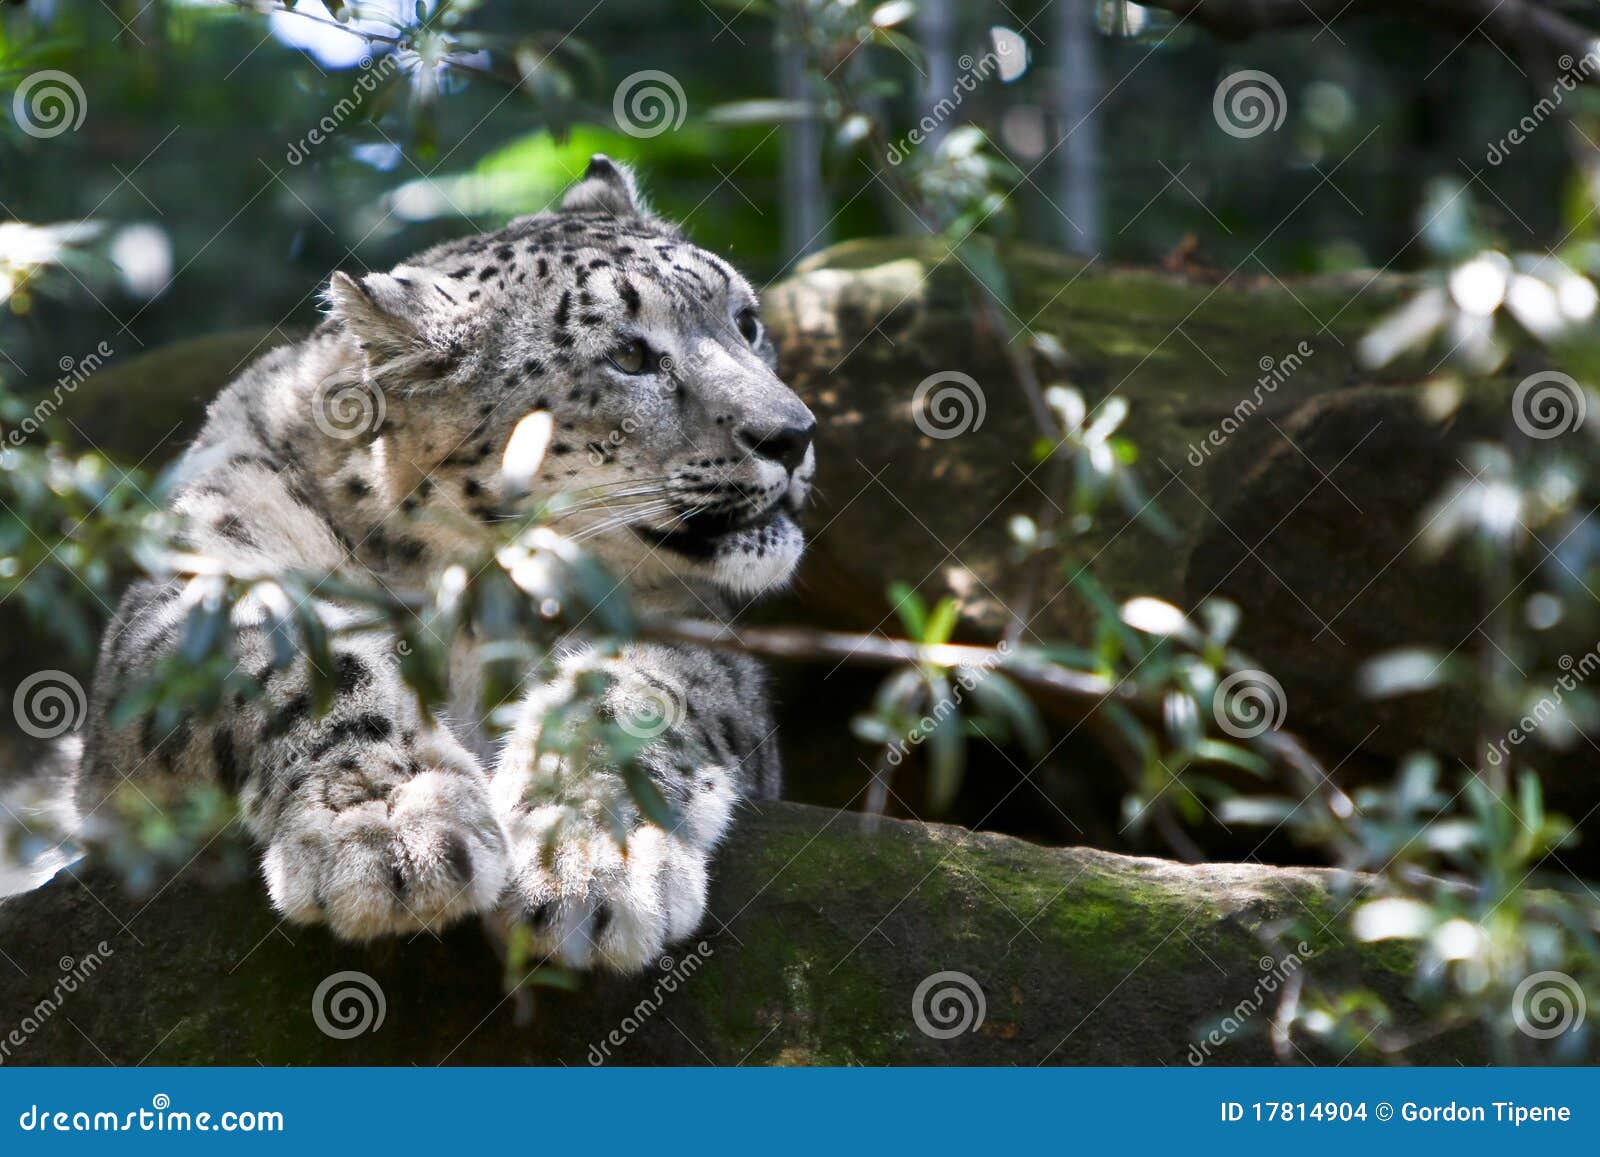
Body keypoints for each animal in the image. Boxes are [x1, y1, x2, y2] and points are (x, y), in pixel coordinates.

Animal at [73, 156, 816, 973]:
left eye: (745, 322)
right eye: (629, 356)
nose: (794, 433)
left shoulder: (688, 625)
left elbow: (637, 693)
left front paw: (584, 863)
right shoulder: (204, 569)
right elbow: (294, 665)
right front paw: (395, 833)